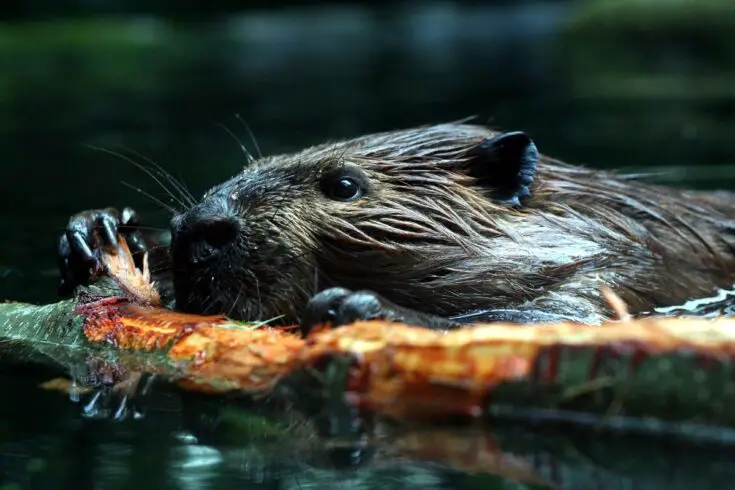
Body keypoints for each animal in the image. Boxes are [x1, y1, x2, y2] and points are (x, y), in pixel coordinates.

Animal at [56, 123, 735, 333]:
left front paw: (356, 306)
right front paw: (99, 233)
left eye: (343, 185)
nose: (201, 228)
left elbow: (565, 320)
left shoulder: (618, 269)